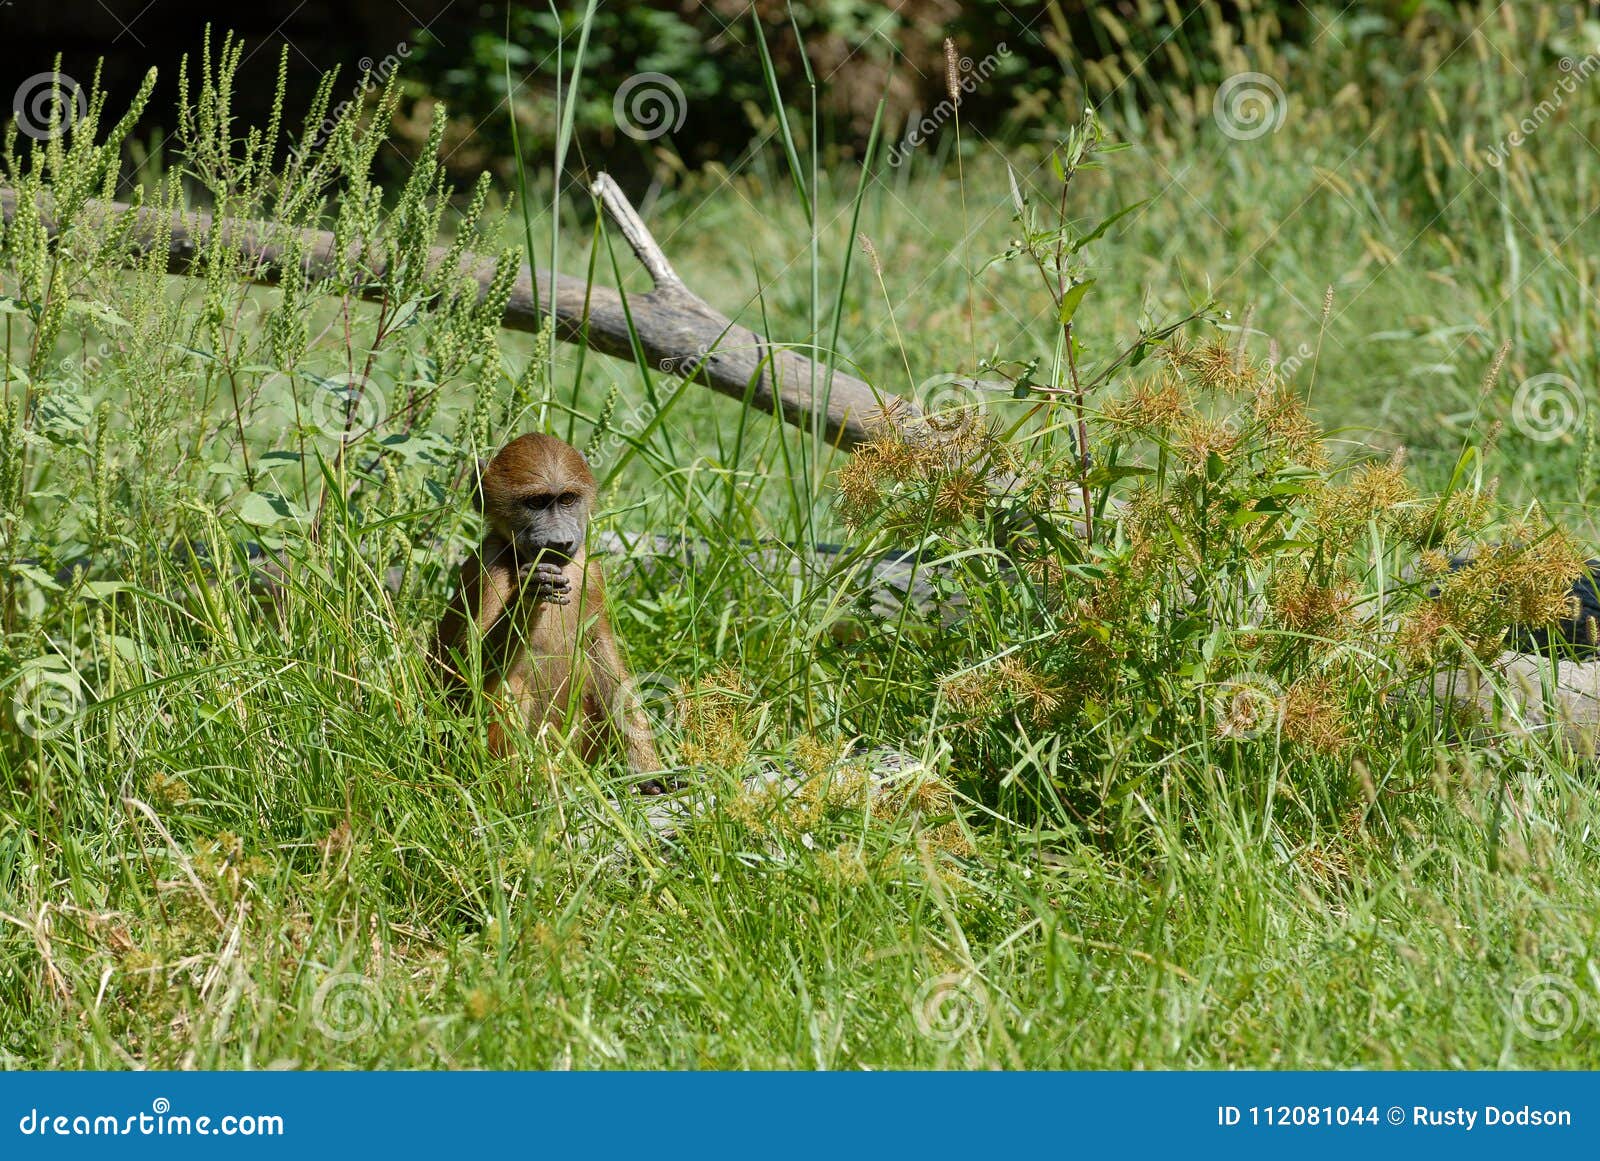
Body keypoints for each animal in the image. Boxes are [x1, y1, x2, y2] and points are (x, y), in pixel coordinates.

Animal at [432, 433, 665, 792]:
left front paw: (646, 769)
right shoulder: (489, 565)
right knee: (510, 687)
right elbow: (465, 662)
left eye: (567, 499)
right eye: (536, 503)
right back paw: (521, 789)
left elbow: (603, 656)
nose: (560, 541)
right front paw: (531, 591)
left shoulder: (588, 568)